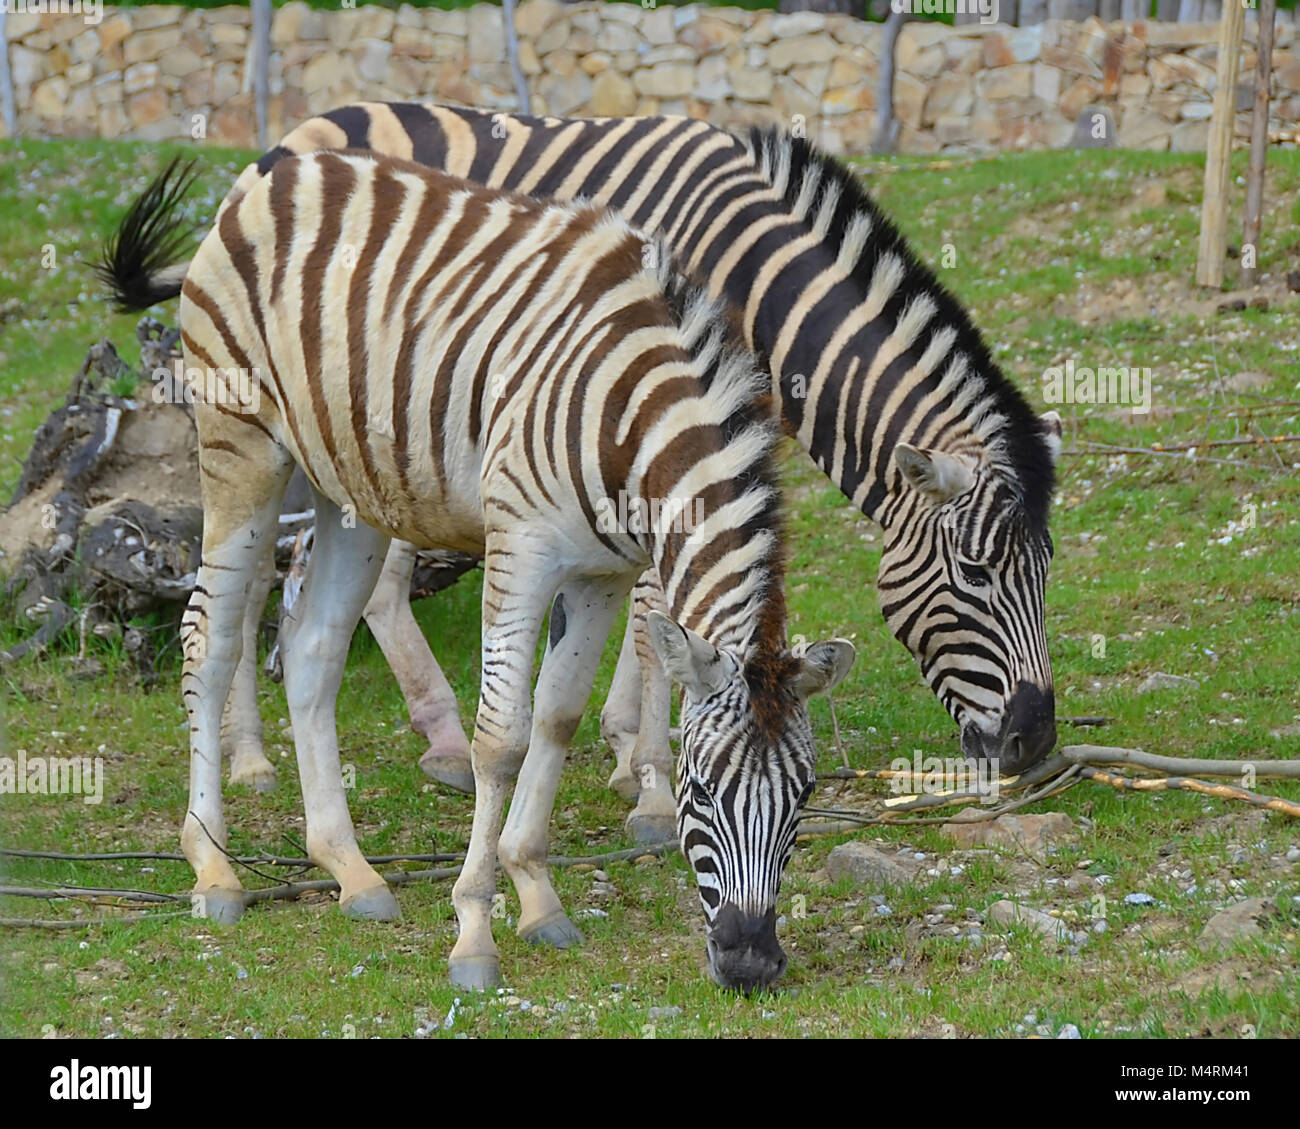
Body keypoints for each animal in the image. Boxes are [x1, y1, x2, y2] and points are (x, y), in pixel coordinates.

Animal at [100, 151, 855, 992]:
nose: (751, 961)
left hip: (350, 491)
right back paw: (214, 867)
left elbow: (556, 715)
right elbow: (502, 737)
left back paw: (350, 868)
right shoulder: (521, 546)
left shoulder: (604, 573)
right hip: (241, 446)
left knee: (312, 647)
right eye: (700, 788)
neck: (627, 423)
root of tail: (279, 166)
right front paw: (473, 930)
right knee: (210, 636)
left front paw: (536, 891)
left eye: (806, 793)